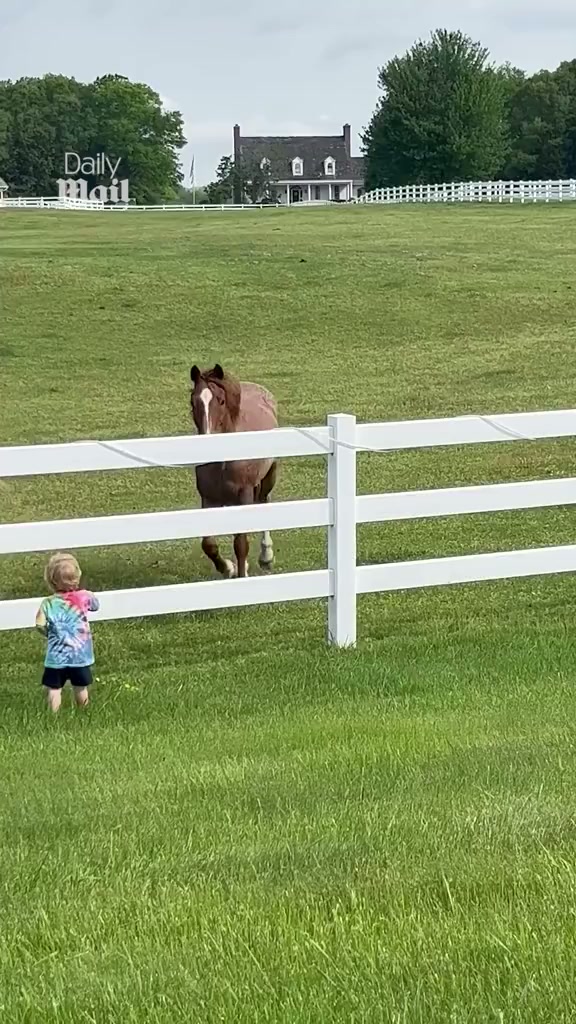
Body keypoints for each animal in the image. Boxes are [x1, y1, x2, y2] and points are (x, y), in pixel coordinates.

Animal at [189, 363, 278, 579]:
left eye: (221, 401)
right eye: (193, 402)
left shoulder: (244, 493)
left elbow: (241, 543)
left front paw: (241, 574)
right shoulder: (208, 498)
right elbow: (208, 543)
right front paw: (229, 568)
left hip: (268, 477)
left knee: (265, 502)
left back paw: (266, 557)